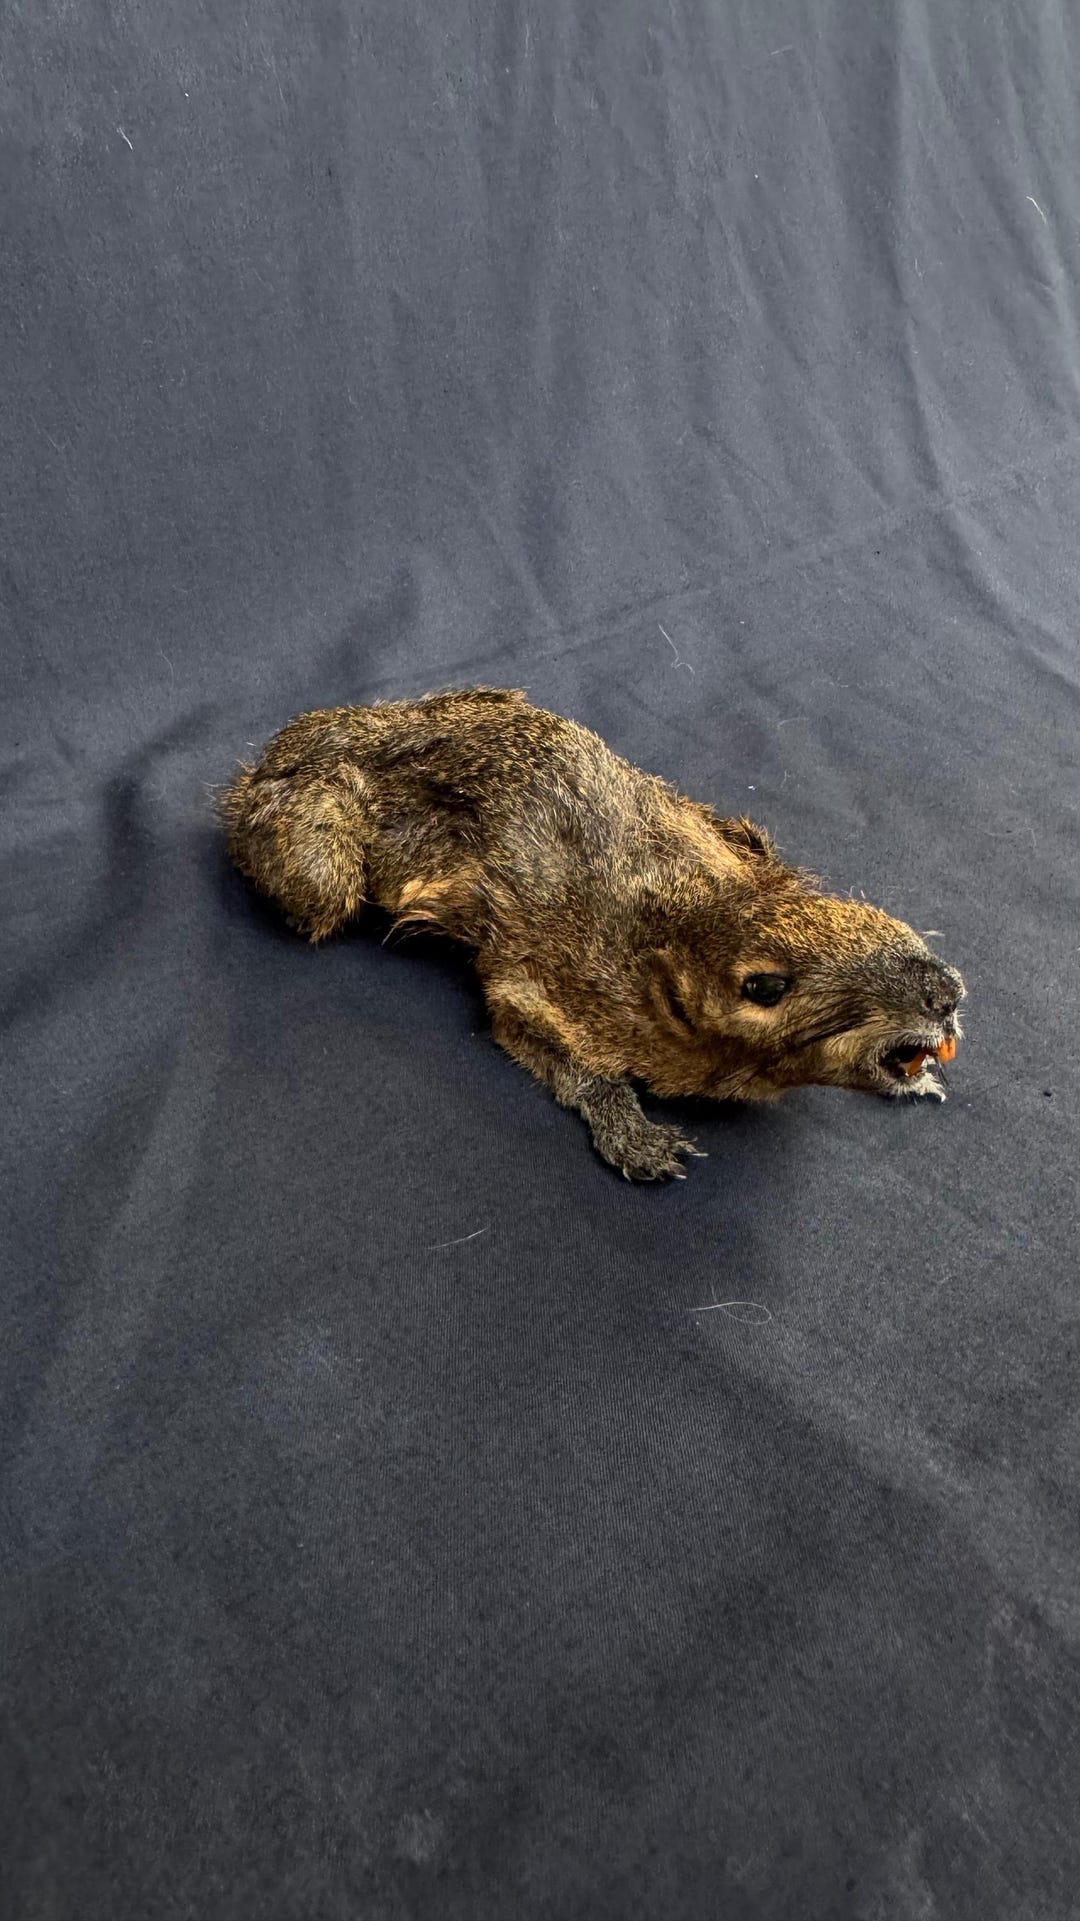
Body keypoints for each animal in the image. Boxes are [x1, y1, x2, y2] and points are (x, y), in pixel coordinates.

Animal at [220, 687, 964, 1180]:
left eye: (889, 922)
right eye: (765, 987)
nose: (947, 992)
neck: (679, 917)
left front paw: (921, 1083)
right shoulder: (547, 980)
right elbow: (554, 1048)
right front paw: (635, 1134)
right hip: (320, 859)